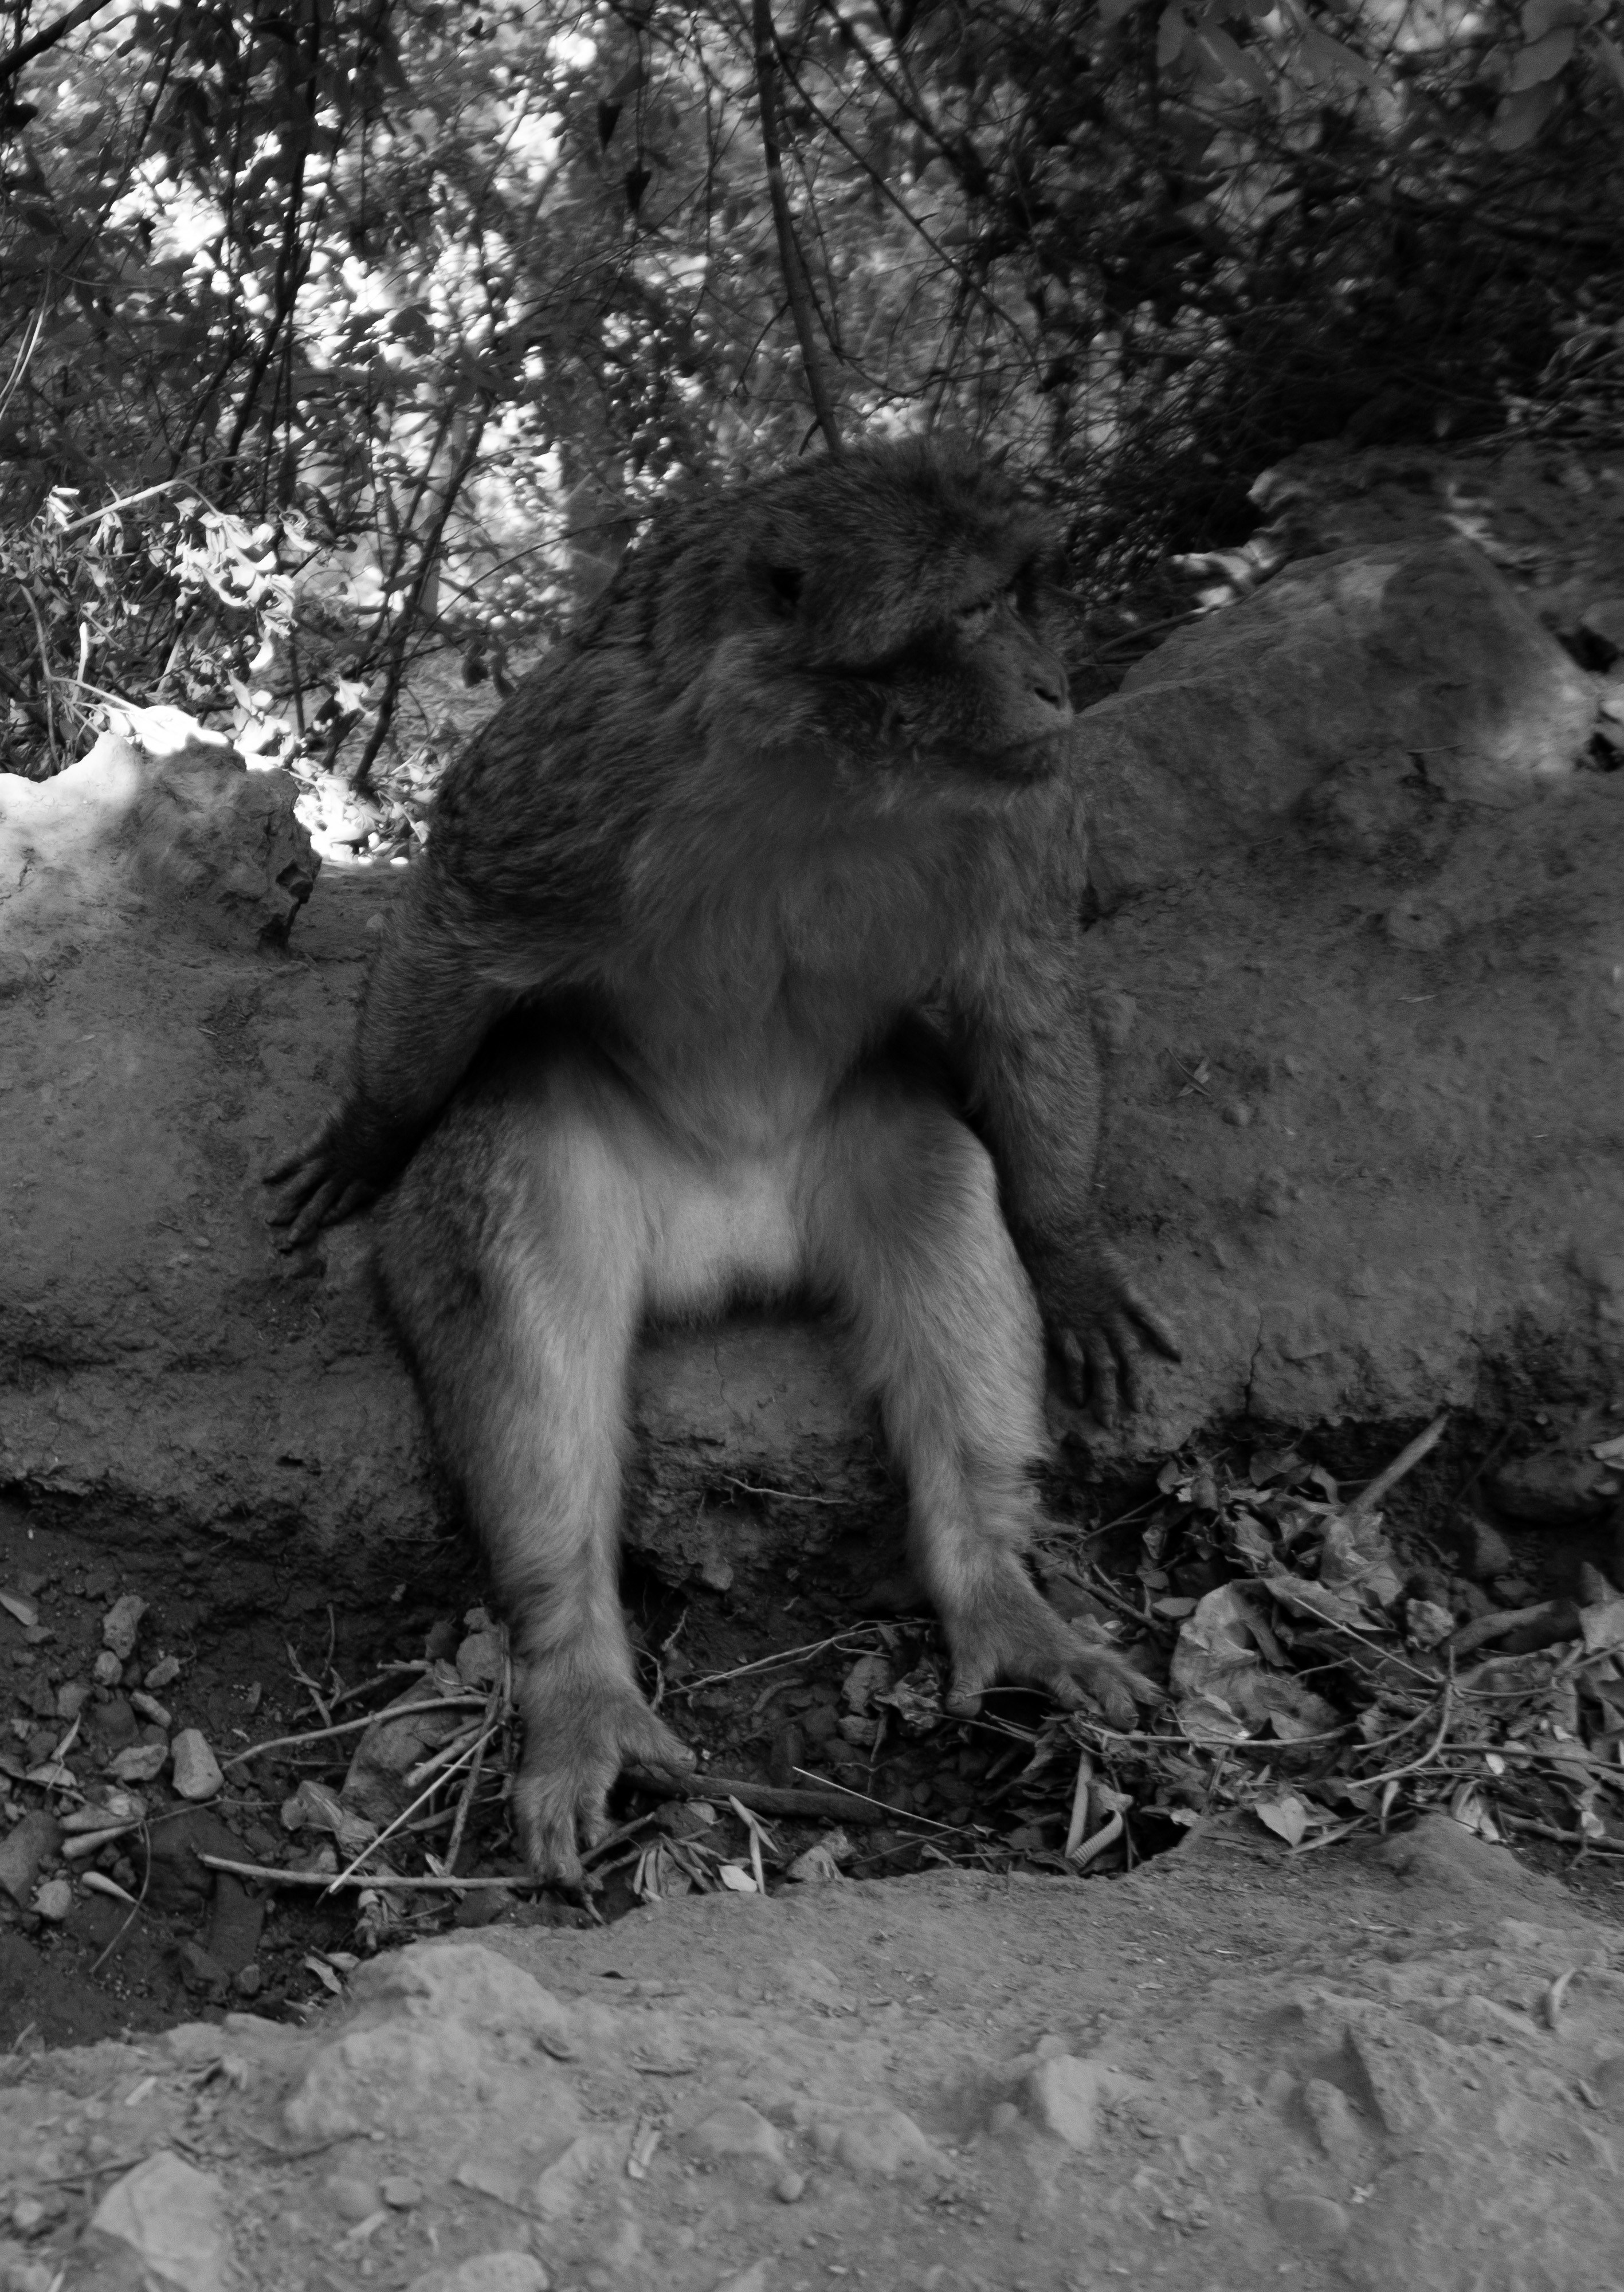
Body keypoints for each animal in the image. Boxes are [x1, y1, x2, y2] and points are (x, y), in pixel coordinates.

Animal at [268, 440, 1178, 1885]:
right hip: (580, 1146)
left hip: (855, 1141)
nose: (1052, 683)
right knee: (513, 1256)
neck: (817, 770)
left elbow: (1021, 994)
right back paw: (576, 1665)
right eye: (974, 612)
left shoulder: (1020, 804)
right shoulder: (580, 767)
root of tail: (734, 1250)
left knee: (939, 1190)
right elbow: (457, 923)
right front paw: (367, 1127)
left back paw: (993, 1585)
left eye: (1022, 596)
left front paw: (1072, 1247)